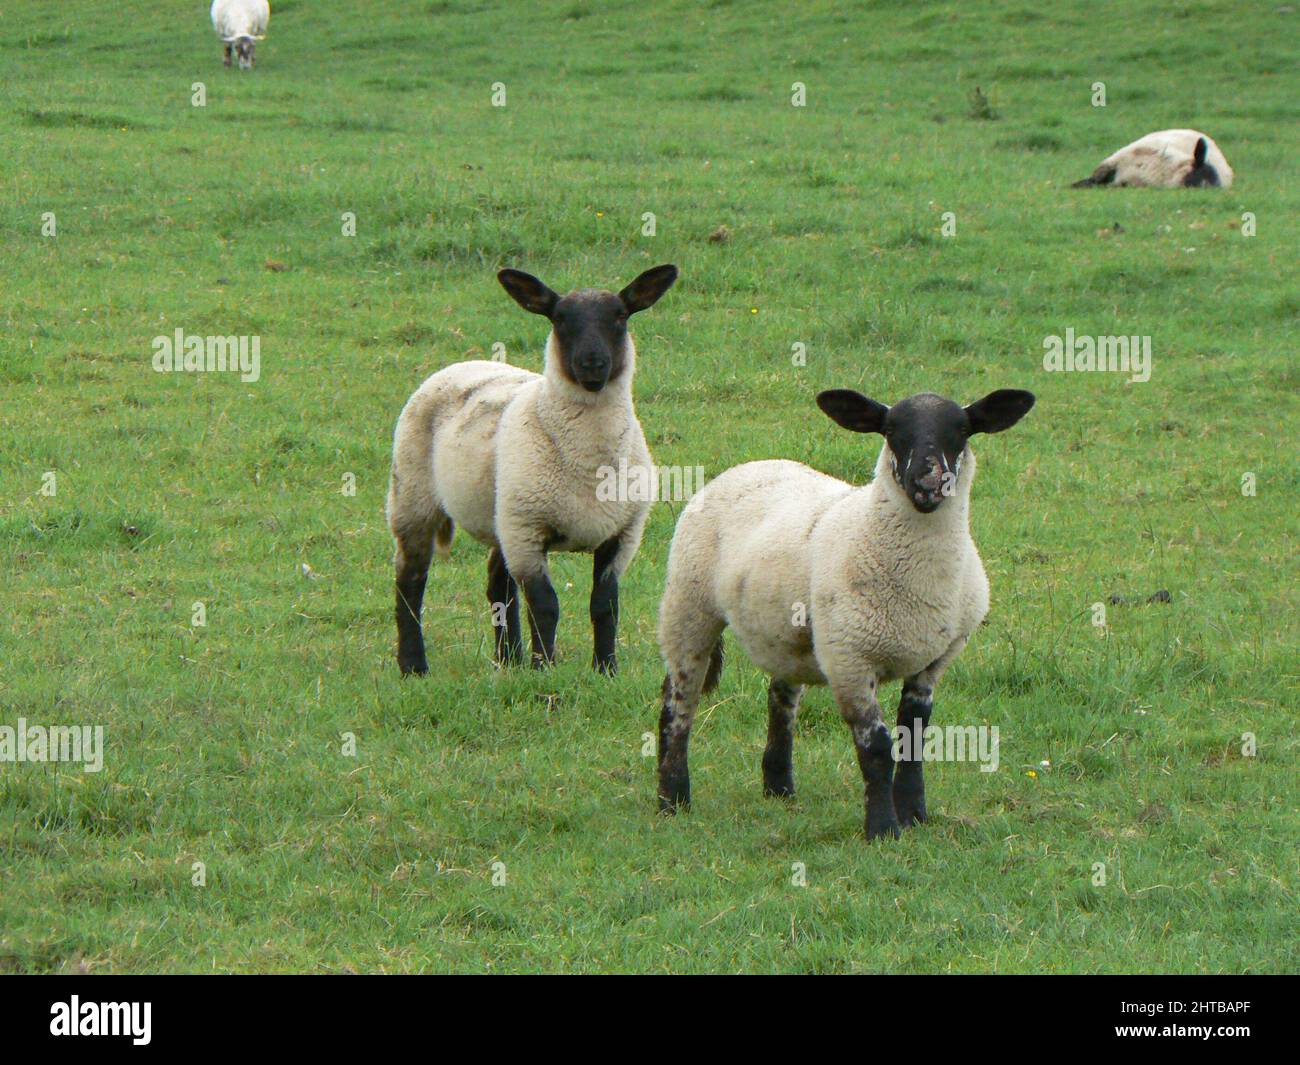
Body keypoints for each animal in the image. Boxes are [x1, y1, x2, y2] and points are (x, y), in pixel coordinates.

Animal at [387, 265, 679, 677]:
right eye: (559, 318)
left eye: (620, 316)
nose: (592, 364)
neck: (588, 464)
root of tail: (462, 364)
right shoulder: (528, 531)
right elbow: (544, 606)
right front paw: (545, 667)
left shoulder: (622, 533)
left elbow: (605, 605)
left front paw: (605, 668)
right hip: (414, 497)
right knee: (410, 581)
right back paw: (414, 665)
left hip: (501, 516)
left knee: (497, 585)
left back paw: (508, 659)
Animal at [656, 387, 1035, 841]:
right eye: (892, 430)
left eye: (962, 430)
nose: (927, 483)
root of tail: (750, 465)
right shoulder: (850, 659)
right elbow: (877, 749)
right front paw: (884, 829)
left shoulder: (934, 660)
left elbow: (915, 739)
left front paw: (915, 814)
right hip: (688, 603)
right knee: (679, 700)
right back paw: (672, 796)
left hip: (787, 630)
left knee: (780, 699)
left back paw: (779, 787)